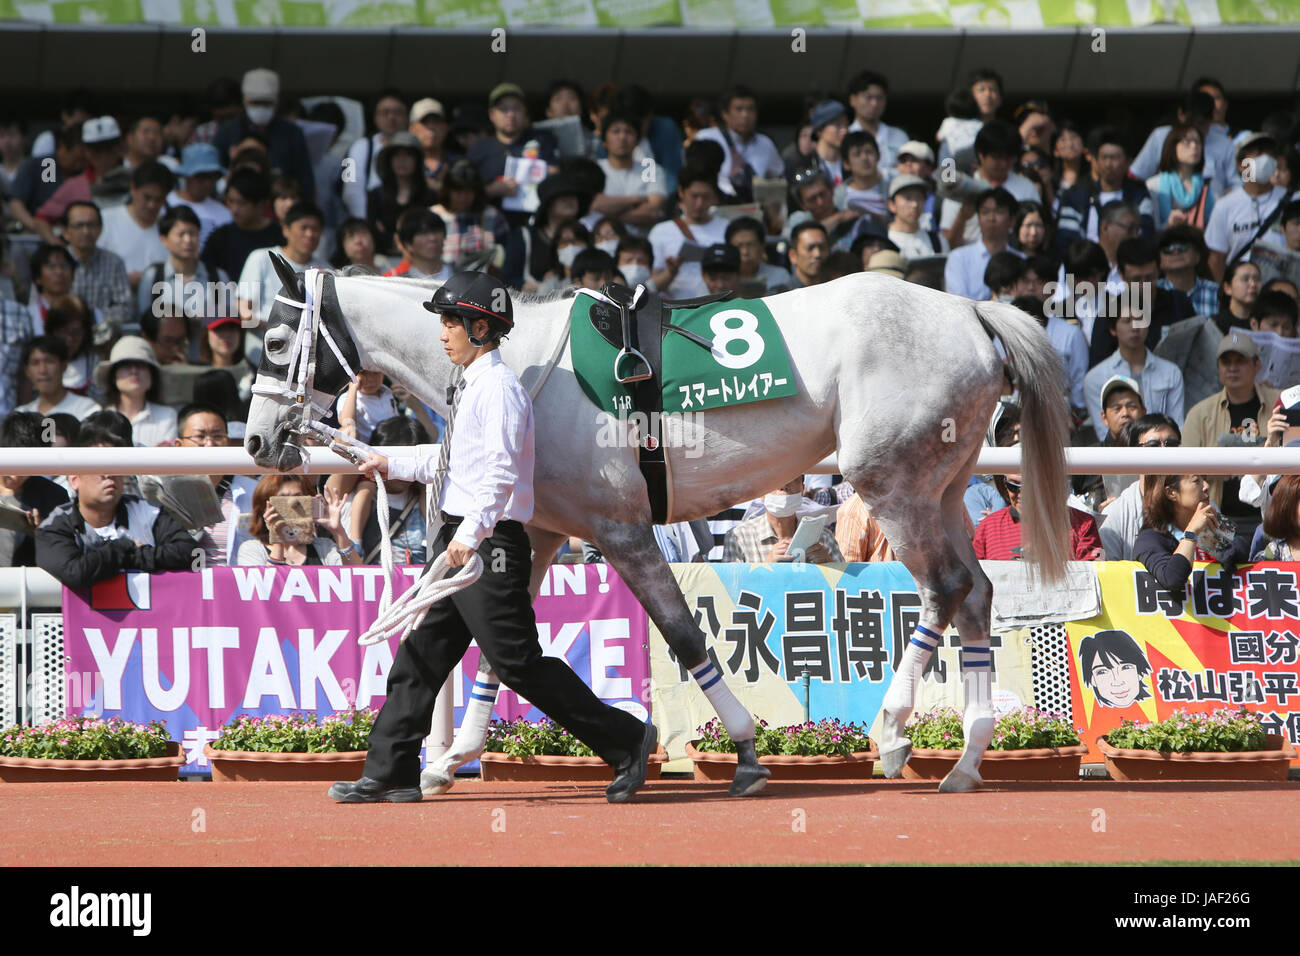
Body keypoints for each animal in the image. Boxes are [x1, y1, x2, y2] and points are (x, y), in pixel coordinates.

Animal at [244, 255, 1071, 794]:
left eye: (278, 343)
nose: (257, 441)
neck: (524, 365)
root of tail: (969, 310)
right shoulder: (540, 530)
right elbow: (501, 653)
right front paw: (450, 760)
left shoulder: (620, 529)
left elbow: (680, 633)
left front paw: (743, 752)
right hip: (944, 485)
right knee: (976, 595)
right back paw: (966, 761)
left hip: (892, 483)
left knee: (944, 587)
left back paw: (896, 732)